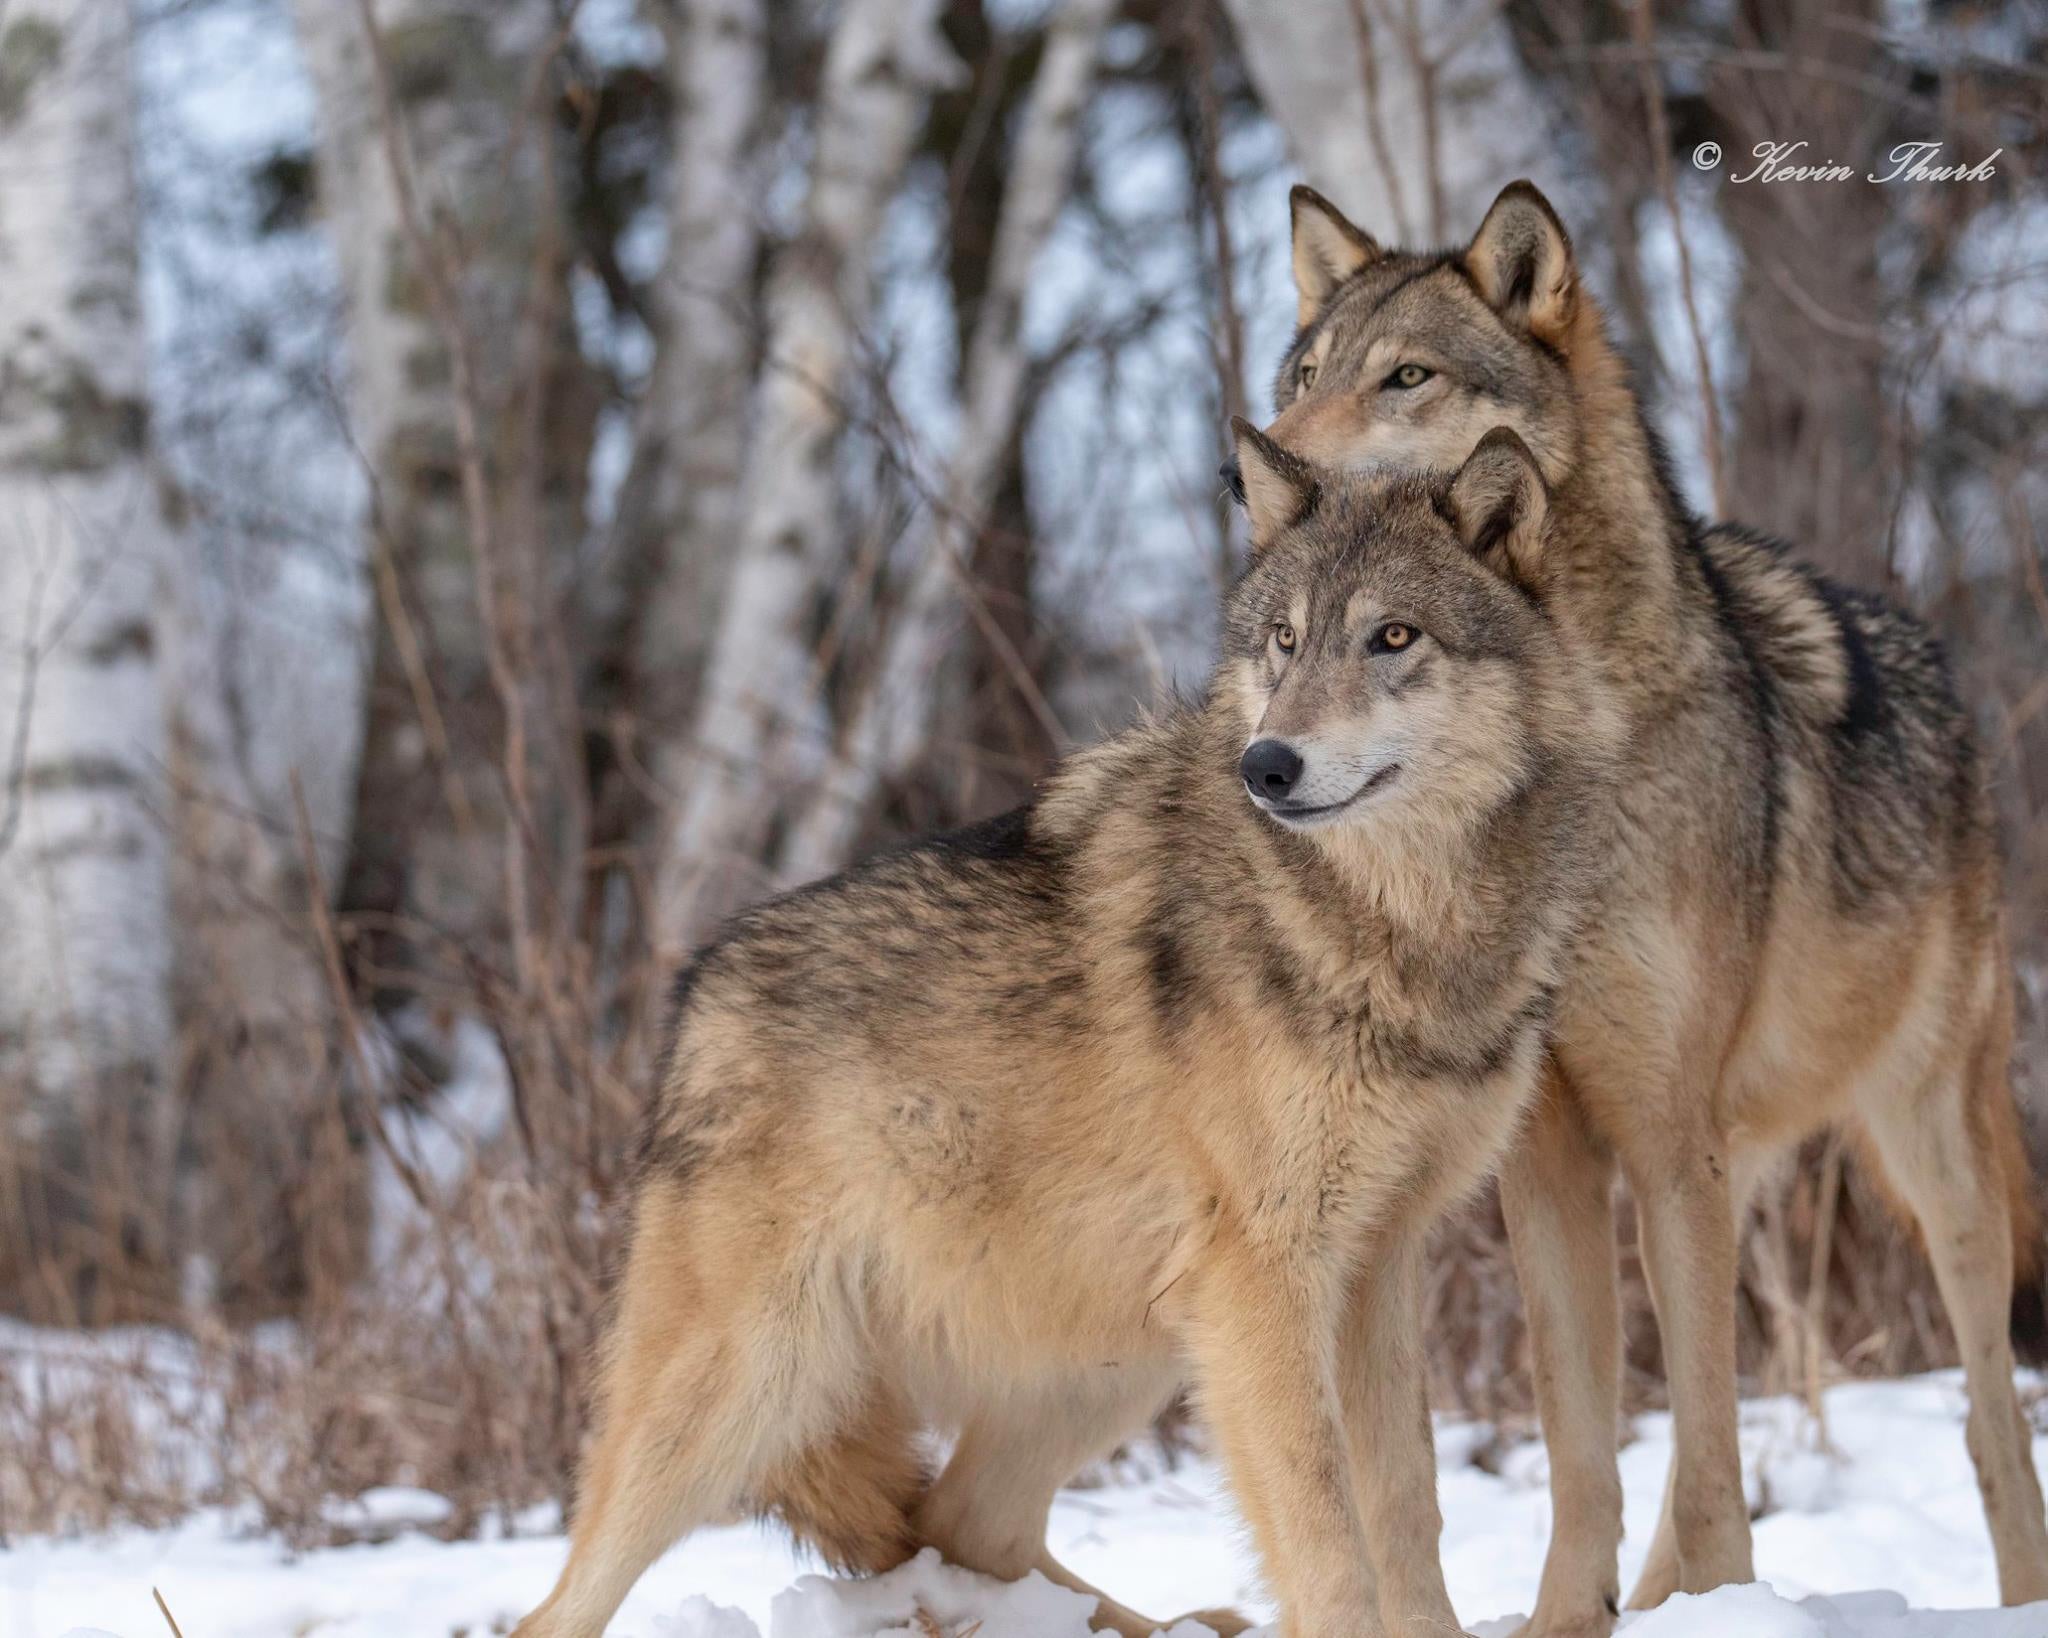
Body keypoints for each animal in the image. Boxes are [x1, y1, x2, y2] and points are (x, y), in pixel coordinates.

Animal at [512, 430, 1620, 1638]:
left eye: (1394, 637)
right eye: (1284, 642)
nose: (1267, 766)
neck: (1394, 927)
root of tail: (690, 1005)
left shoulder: (1371, 1267)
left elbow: (1406, 1511)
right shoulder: (1267, 1281)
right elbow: (1328, 1541)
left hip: (1128, 1346)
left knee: (966, 1525)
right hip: (756, 1385)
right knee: (555, 1609)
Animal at [1243, 178, 2048, 1634]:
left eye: (1405, 376)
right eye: (1303, 375)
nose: (1250, 463)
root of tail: (1931, 651)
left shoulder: (1665, 1135)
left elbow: (1711, 1438)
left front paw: (1722, 1596)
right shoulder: (1550, 1146)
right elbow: (1586, 1435)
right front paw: (1574, 1613)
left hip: (1928, 1153)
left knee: (1985, 1418)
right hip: (1746, 1147)